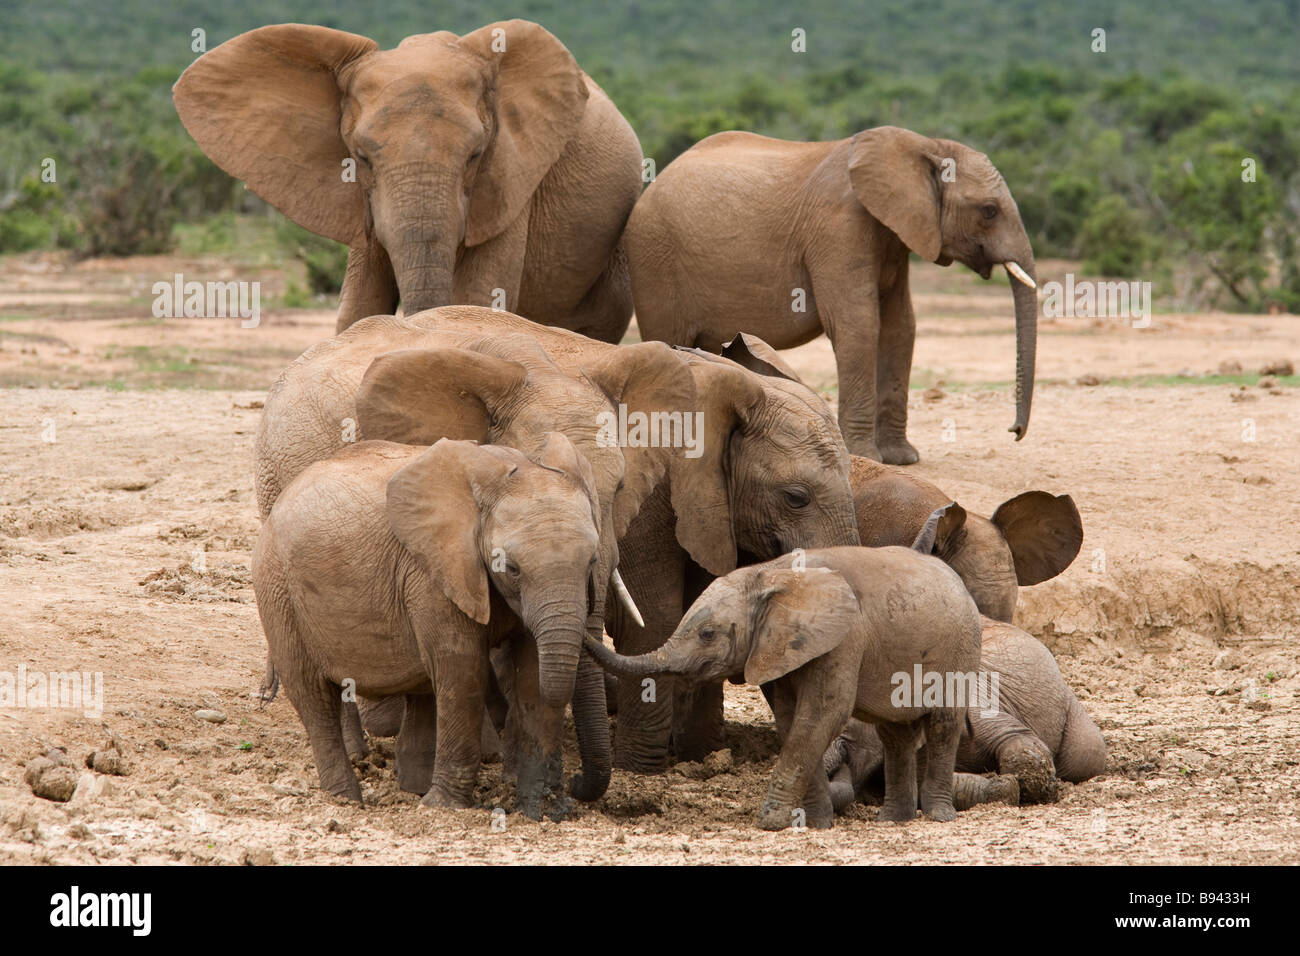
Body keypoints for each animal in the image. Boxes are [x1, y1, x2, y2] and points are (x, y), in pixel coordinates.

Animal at [252, 434, 604, 818]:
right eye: (510, 567)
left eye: (592, 561)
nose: (571, 787)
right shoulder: (431, 573)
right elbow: (462, 669)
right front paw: (447, 807)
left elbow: (532, 673)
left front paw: (539, 810)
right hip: (276, 587)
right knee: (312, 694)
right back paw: (346, 799)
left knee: (420, 688)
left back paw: (414, 790)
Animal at [584, 534, 983, 829]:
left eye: (708, 634)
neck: (770, 575)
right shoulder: (780, 647)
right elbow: (793, 720)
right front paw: (815, 823)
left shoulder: (846, 637)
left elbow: (822, 715)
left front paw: (771, 822)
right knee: (895, 735)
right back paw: (891, 821)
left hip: (962, 646)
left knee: (943, 725)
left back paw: (938, 816)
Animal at [625, 125, 1039, 463]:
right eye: (989, 210)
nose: (1014, 431)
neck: (922, 144)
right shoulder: (839, 226)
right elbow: (859, 324)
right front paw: (868, 458)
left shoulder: (894, 236)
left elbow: (900, 327)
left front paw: (902, 459)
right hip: (654, 259)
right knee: (668, 339)